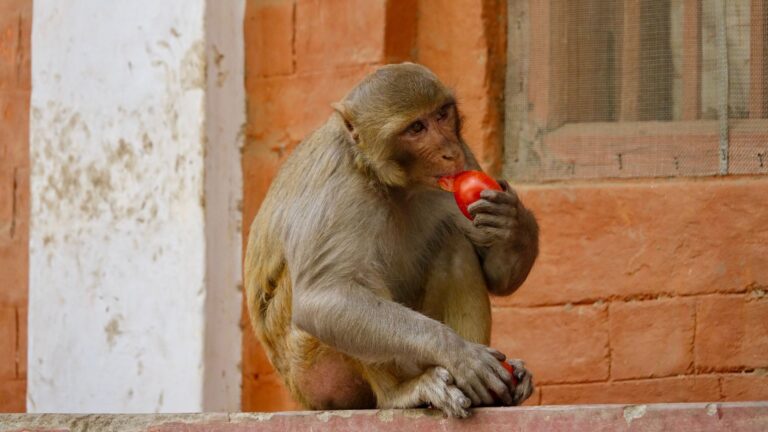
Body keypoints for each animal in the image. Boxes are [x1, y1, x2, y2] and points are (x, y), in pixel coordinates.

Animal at [244, 63, 538, 418]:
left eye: (442, 115)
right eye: (416, 128)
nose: (449, 151)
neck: (380, 175)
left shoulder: (464, 155)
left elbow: (497, 276)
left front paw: (513, 224)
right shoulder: (338, 185)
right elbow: (323, 299)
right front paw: (457, 352)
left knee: (454, 247)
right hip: (310, 373)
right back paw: (402, 392)